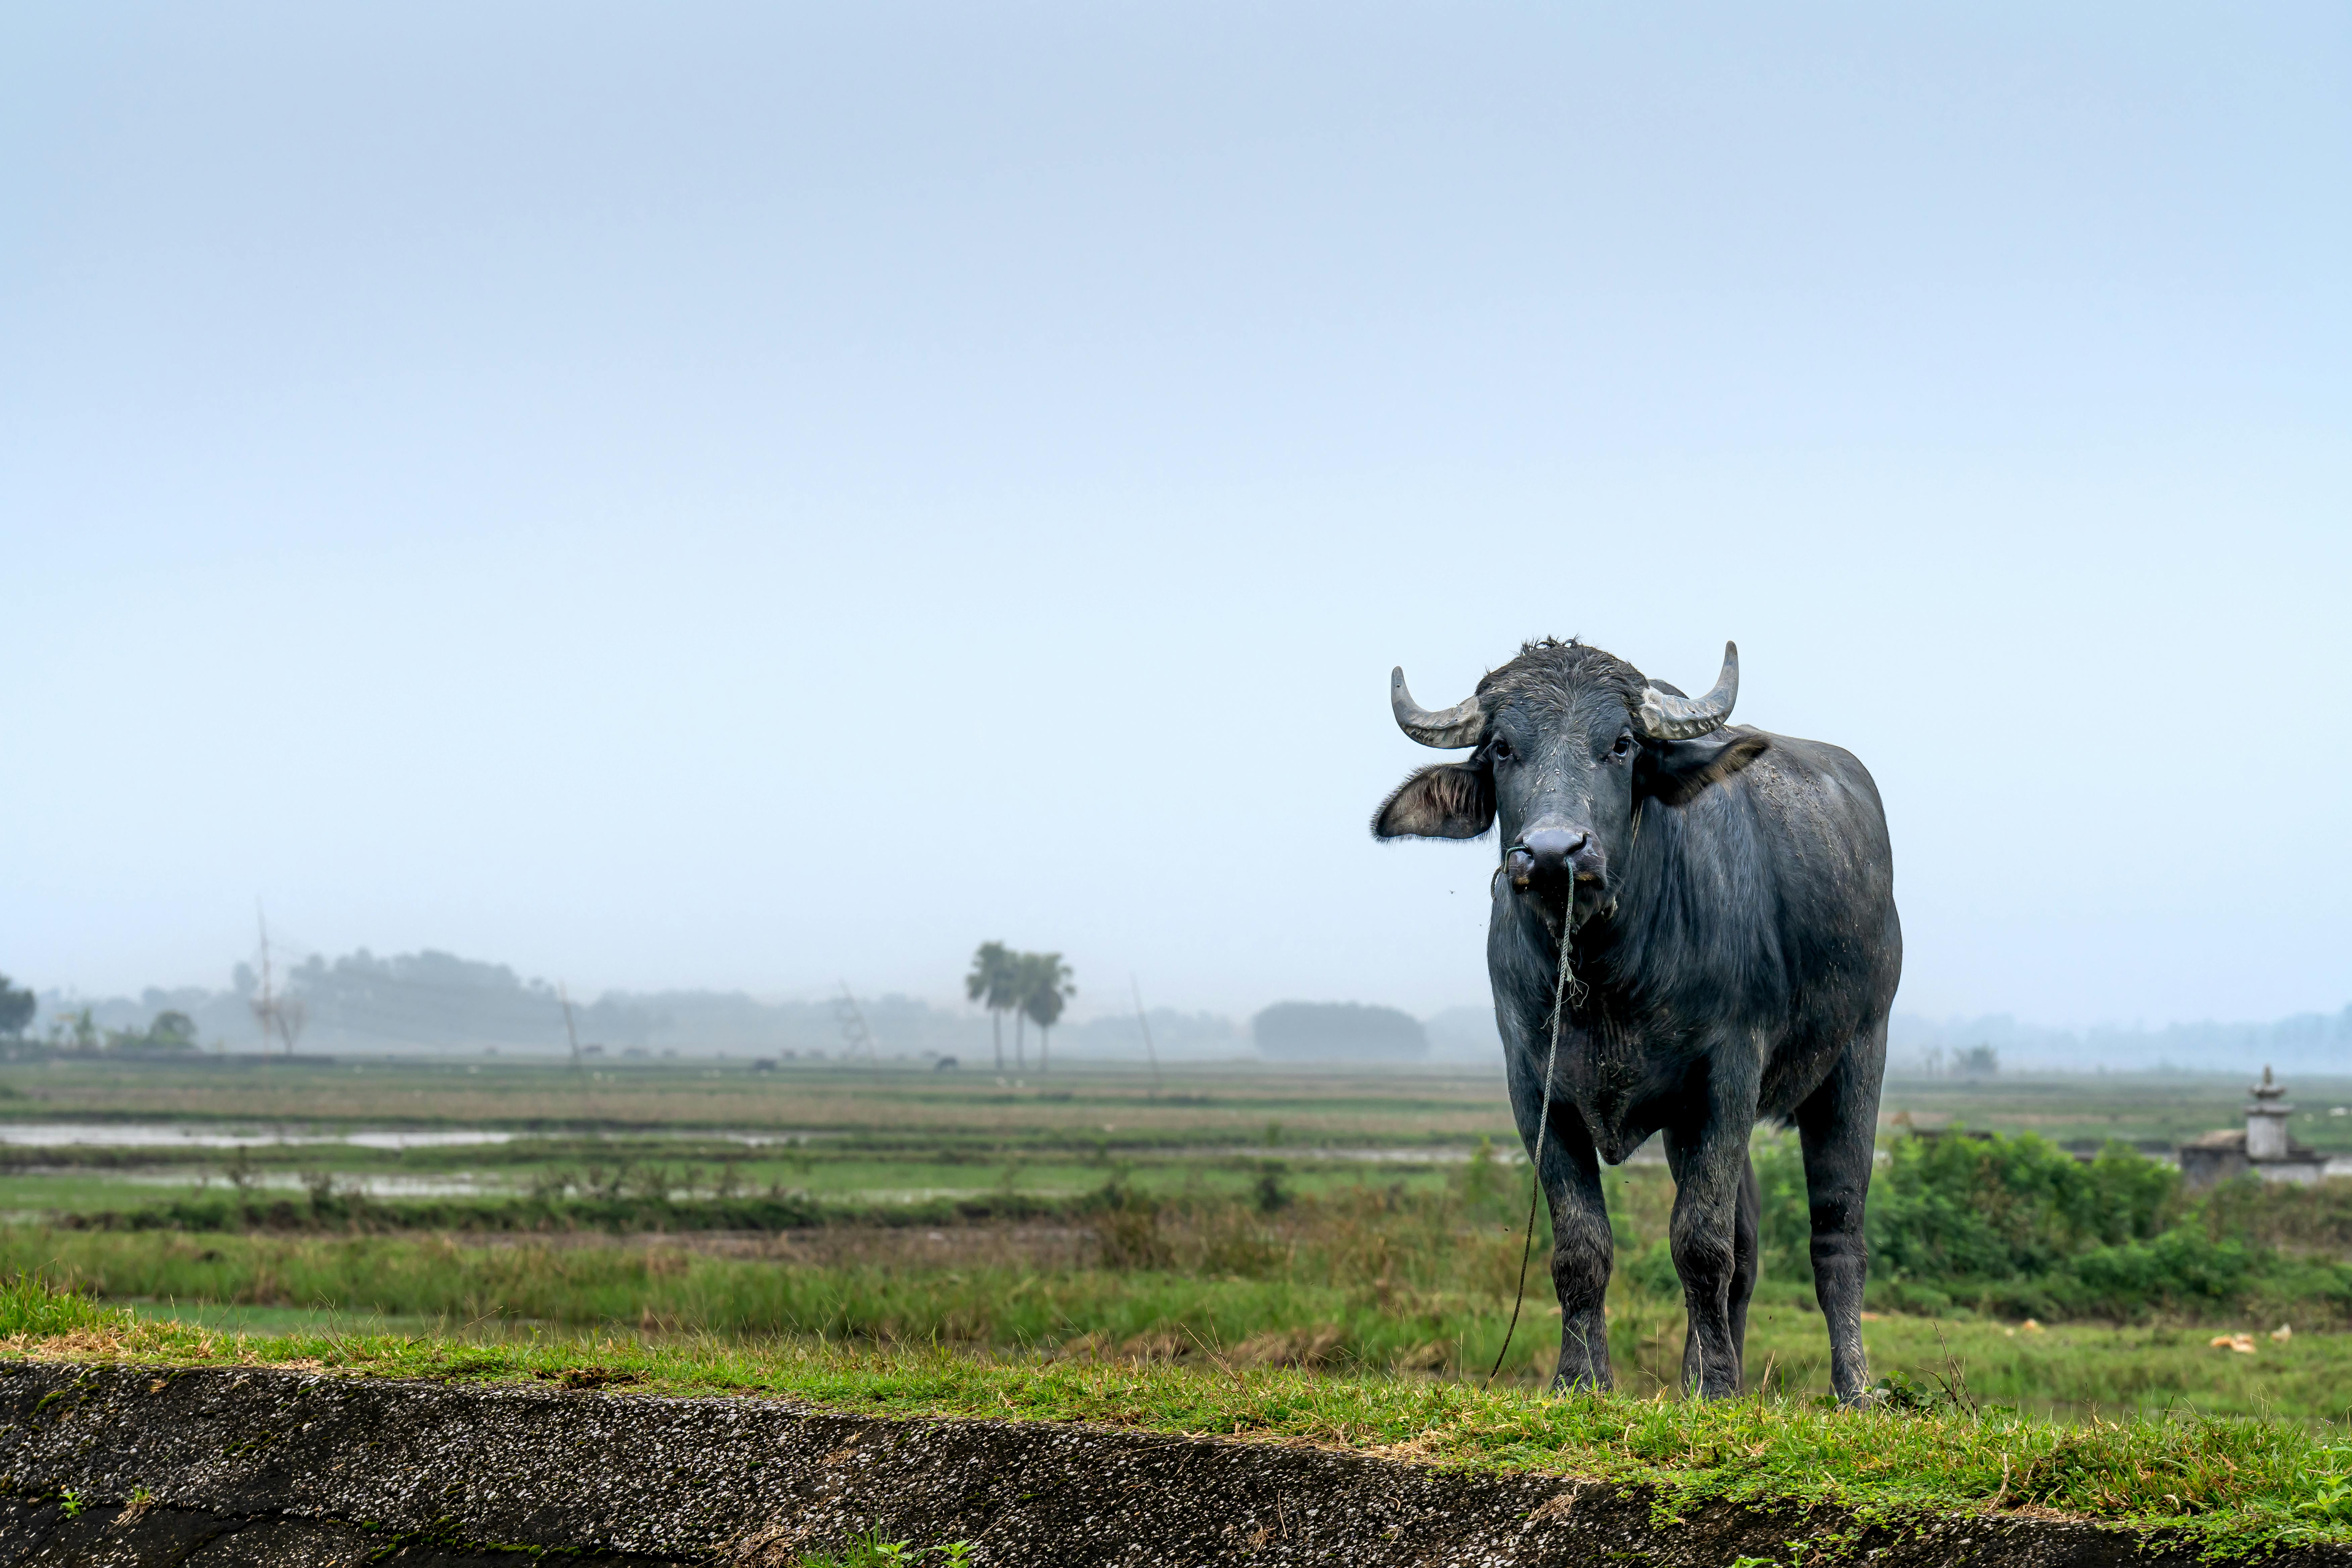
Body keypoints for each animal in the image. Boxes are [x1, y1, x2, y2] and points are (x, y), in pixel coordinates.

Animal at [1372, 638, 1899, 1402]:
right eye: (1502, 746)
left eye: (1620, 744)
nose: (1554, 850)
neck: (1608, 975)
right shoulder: (1535, 1090)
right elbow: (1580, 1246)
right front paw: (1582, 1377)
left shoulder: (1727, 1077)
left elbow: (1700, 1242)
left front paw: (1716, 1386)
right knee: (1747, 1248)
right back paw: (1701, 1372)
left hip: (1858, 1054)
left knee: (1836, 1231)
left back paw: (1852, 1387)